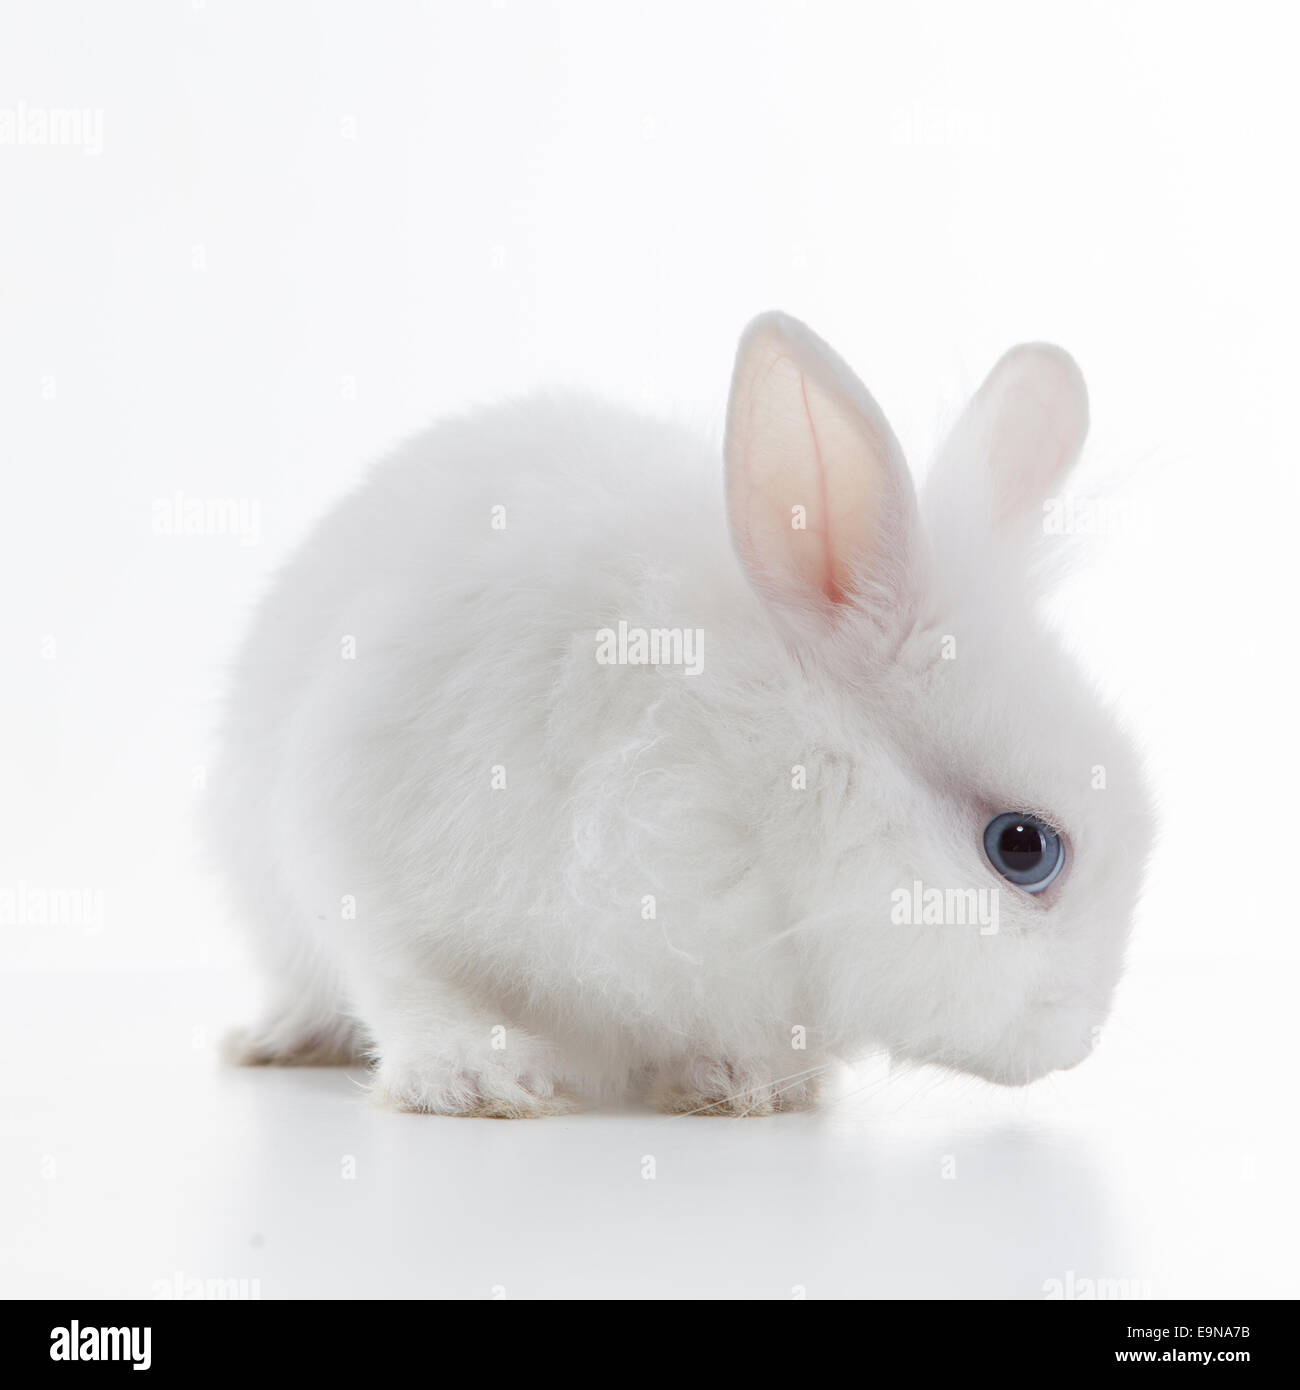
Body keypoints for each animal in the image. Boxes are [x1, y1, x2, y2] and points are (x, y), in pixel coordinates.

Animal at [207, 311, 1154, 1118]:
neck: (748, 766)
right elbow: (407, 983)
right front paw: (477, 1082)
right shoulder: (355, 843)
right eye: (1022, 847)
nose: (1076, 1047)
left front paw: (746, 1085)